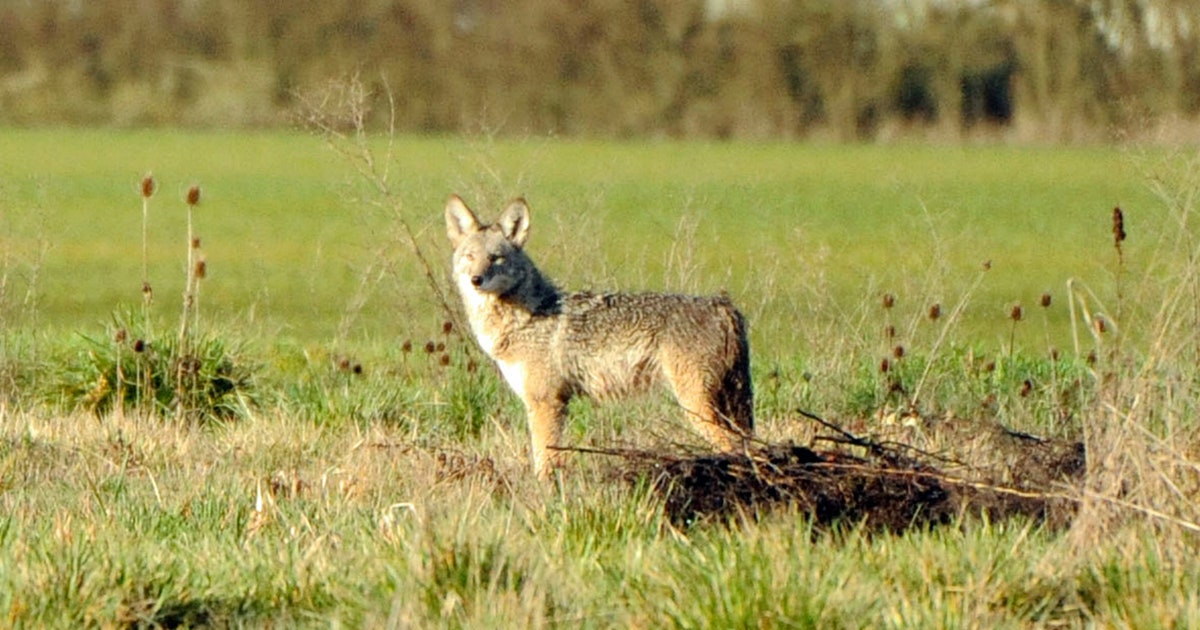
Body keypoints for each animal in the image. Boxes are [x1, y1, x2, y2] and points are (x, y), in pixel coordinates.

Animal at [444, 194, 754, 479]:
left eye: (496, 258)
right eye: (470, 257)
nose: (476, 279)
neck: (522, 317)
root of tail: (723, 306)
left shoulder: (545, 403)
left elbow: (544, 461)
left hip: (697, 407)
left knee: (735, 447)